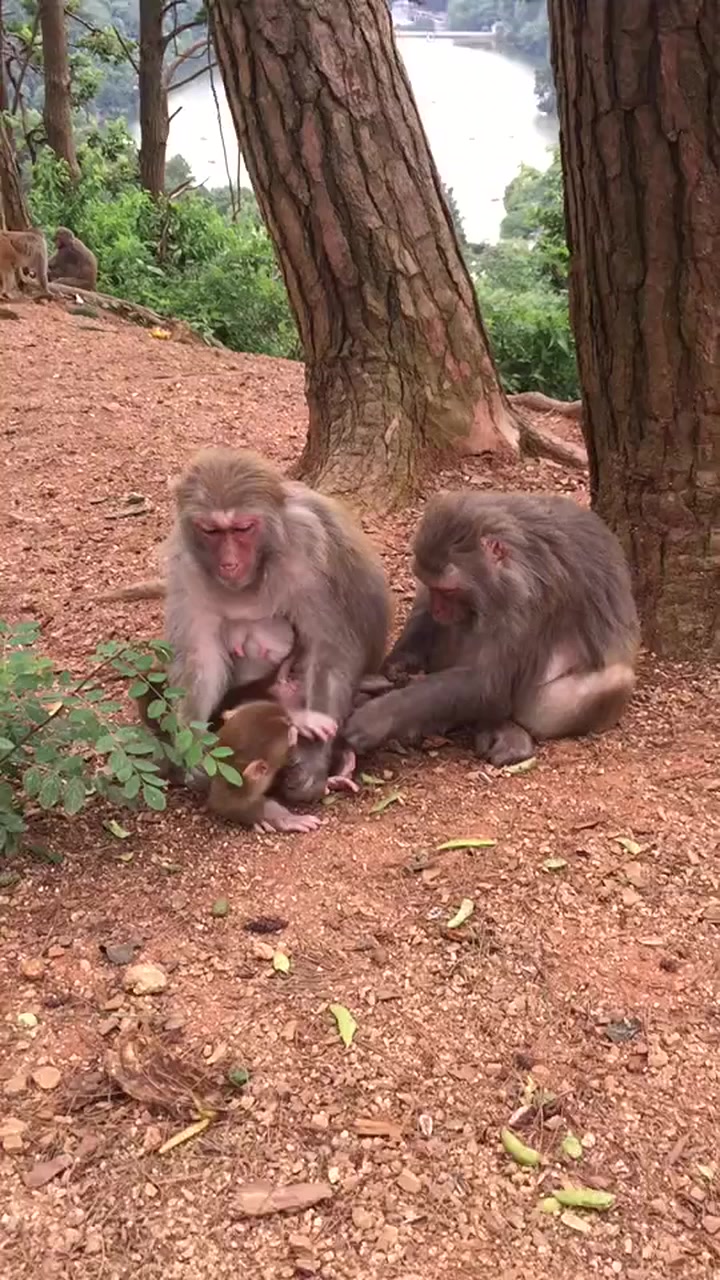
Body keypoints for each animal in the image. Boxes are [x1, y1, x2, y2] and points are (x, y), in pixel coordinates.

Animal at [343, 491, 640, 767]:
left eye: (449, 591)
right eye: (433, 586)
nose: (440, 610)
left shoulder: (529, 599)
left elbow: (488, 682)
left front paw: (379, 717)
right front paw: (400, 663)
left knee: (615, 680)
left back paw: (506, 728)